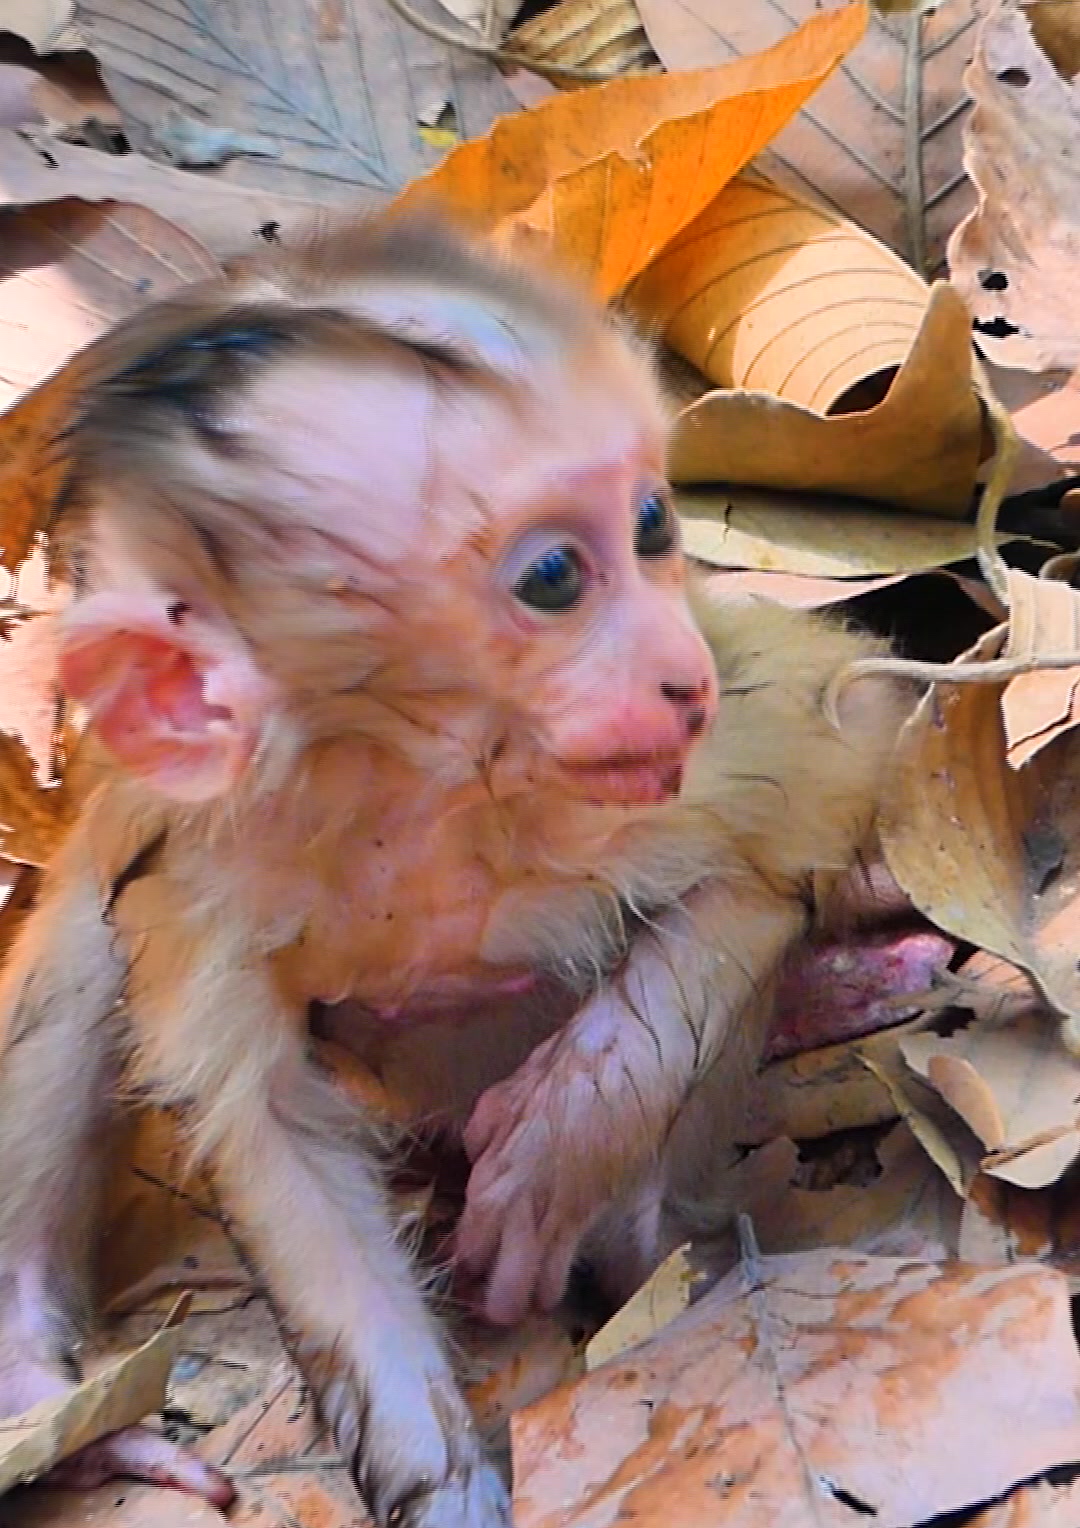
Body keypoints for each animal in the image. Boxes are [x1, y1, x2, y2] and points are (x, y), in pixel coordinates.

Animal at [0, 213, 910, 1526]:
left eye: (653, 525)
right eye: (553, 578)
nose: (676, 671)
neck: (423, 798)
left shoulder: (679, 764)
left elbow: (820, 788)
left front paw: (575, 1119)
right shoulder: (200, 866)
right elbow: (276, 1141)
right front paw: (442, 1483)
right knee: (78, 935)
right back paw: (39, 1390)